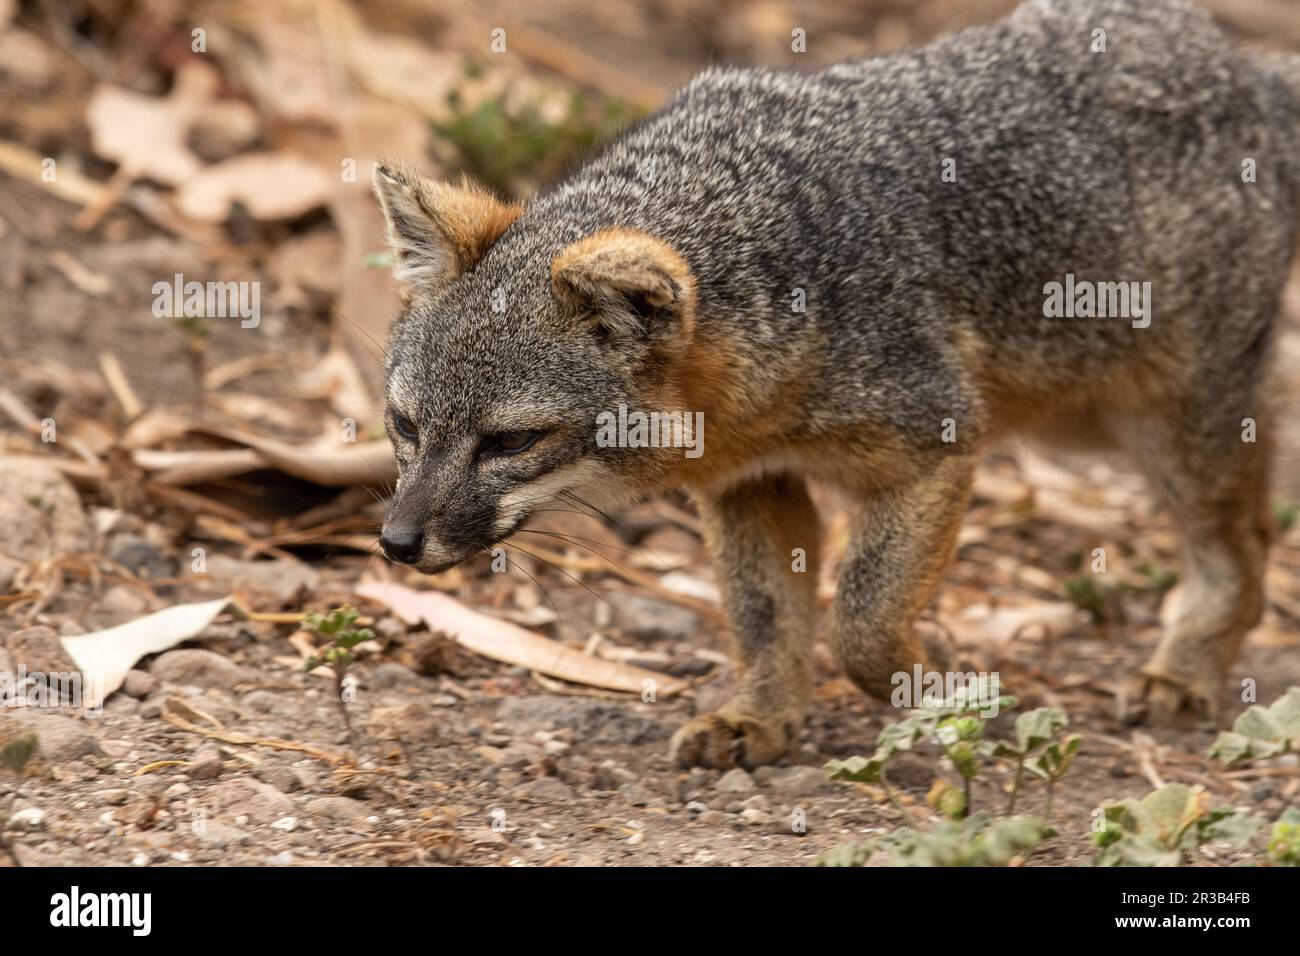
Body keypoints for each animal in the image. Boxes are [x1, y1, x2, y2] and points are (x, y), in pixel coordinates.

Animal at [372, 0, 1300, 768]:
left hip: (1167, 428)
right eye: (405, 426)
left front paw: (939, 690)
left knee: (1244, 544)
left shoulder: (936, 443)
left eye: (511, 442)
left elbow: (860, 614)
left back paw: (1186, 670)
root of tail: (1245, 68)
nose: (395, 543)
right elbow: (767, 619)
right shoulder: (750, 486)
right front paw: (761, 715)